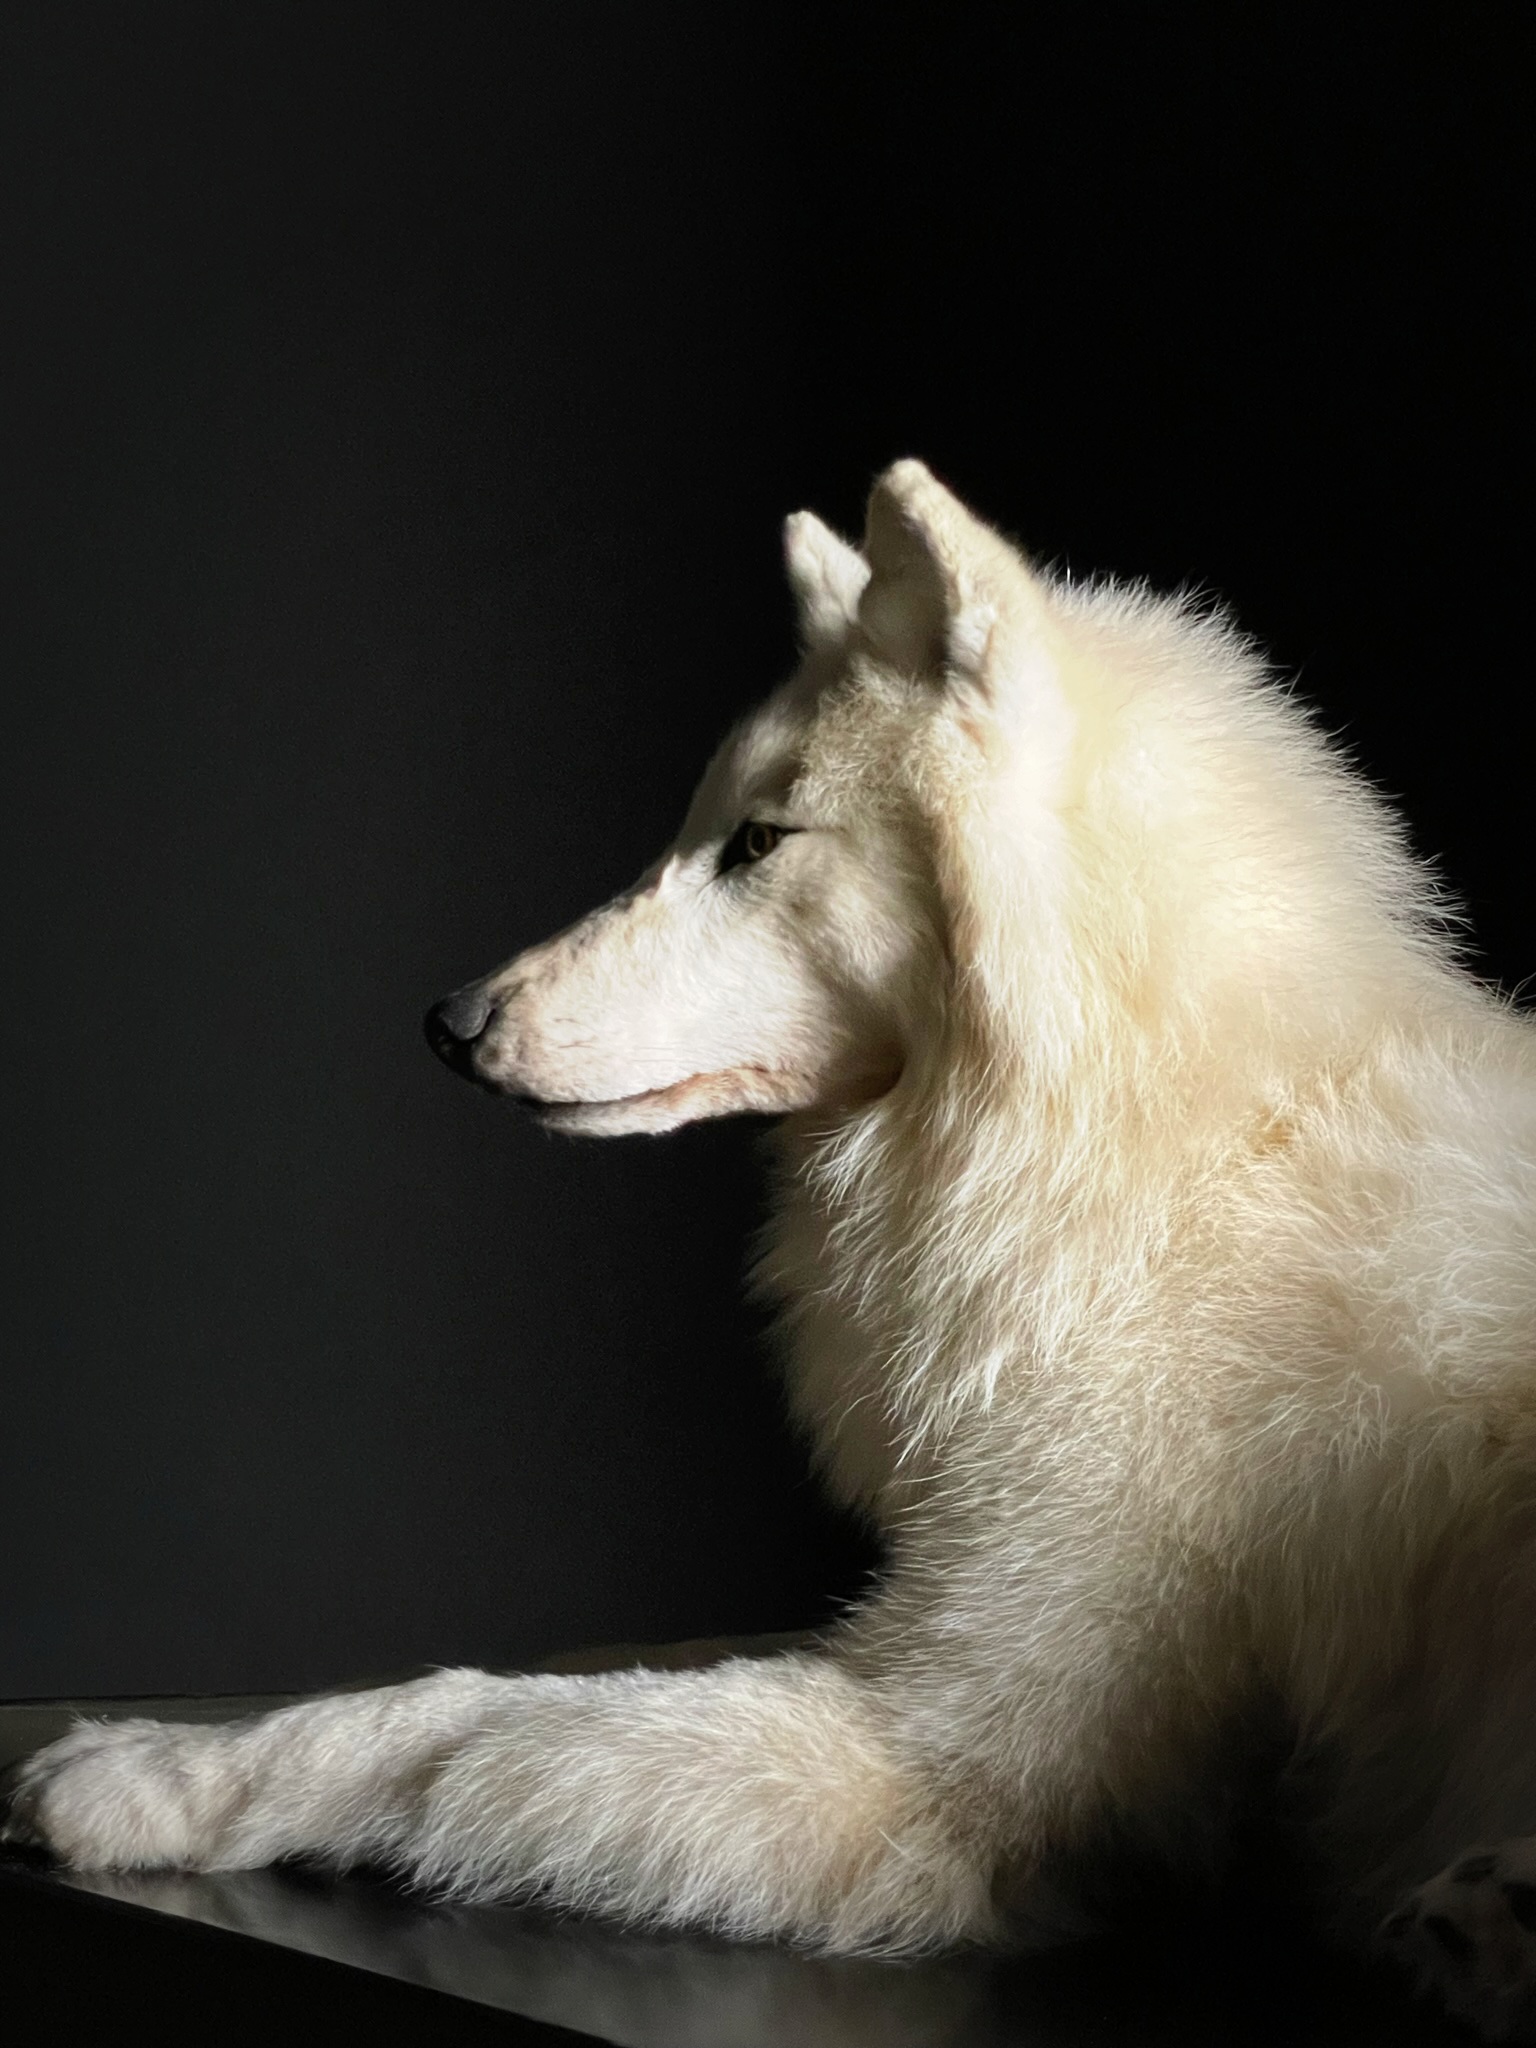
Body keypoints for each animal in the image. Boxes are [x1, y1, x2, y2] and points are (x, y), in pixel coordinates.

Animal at [10, 462, 1536, 2035]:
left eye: (758, 842)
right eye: (700, 828)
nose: (450, 1021)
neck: (1157, 1128)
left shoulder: (923, 1747)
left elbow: (440, 1713)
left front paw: (147, 1770)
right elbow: (523, 1684)